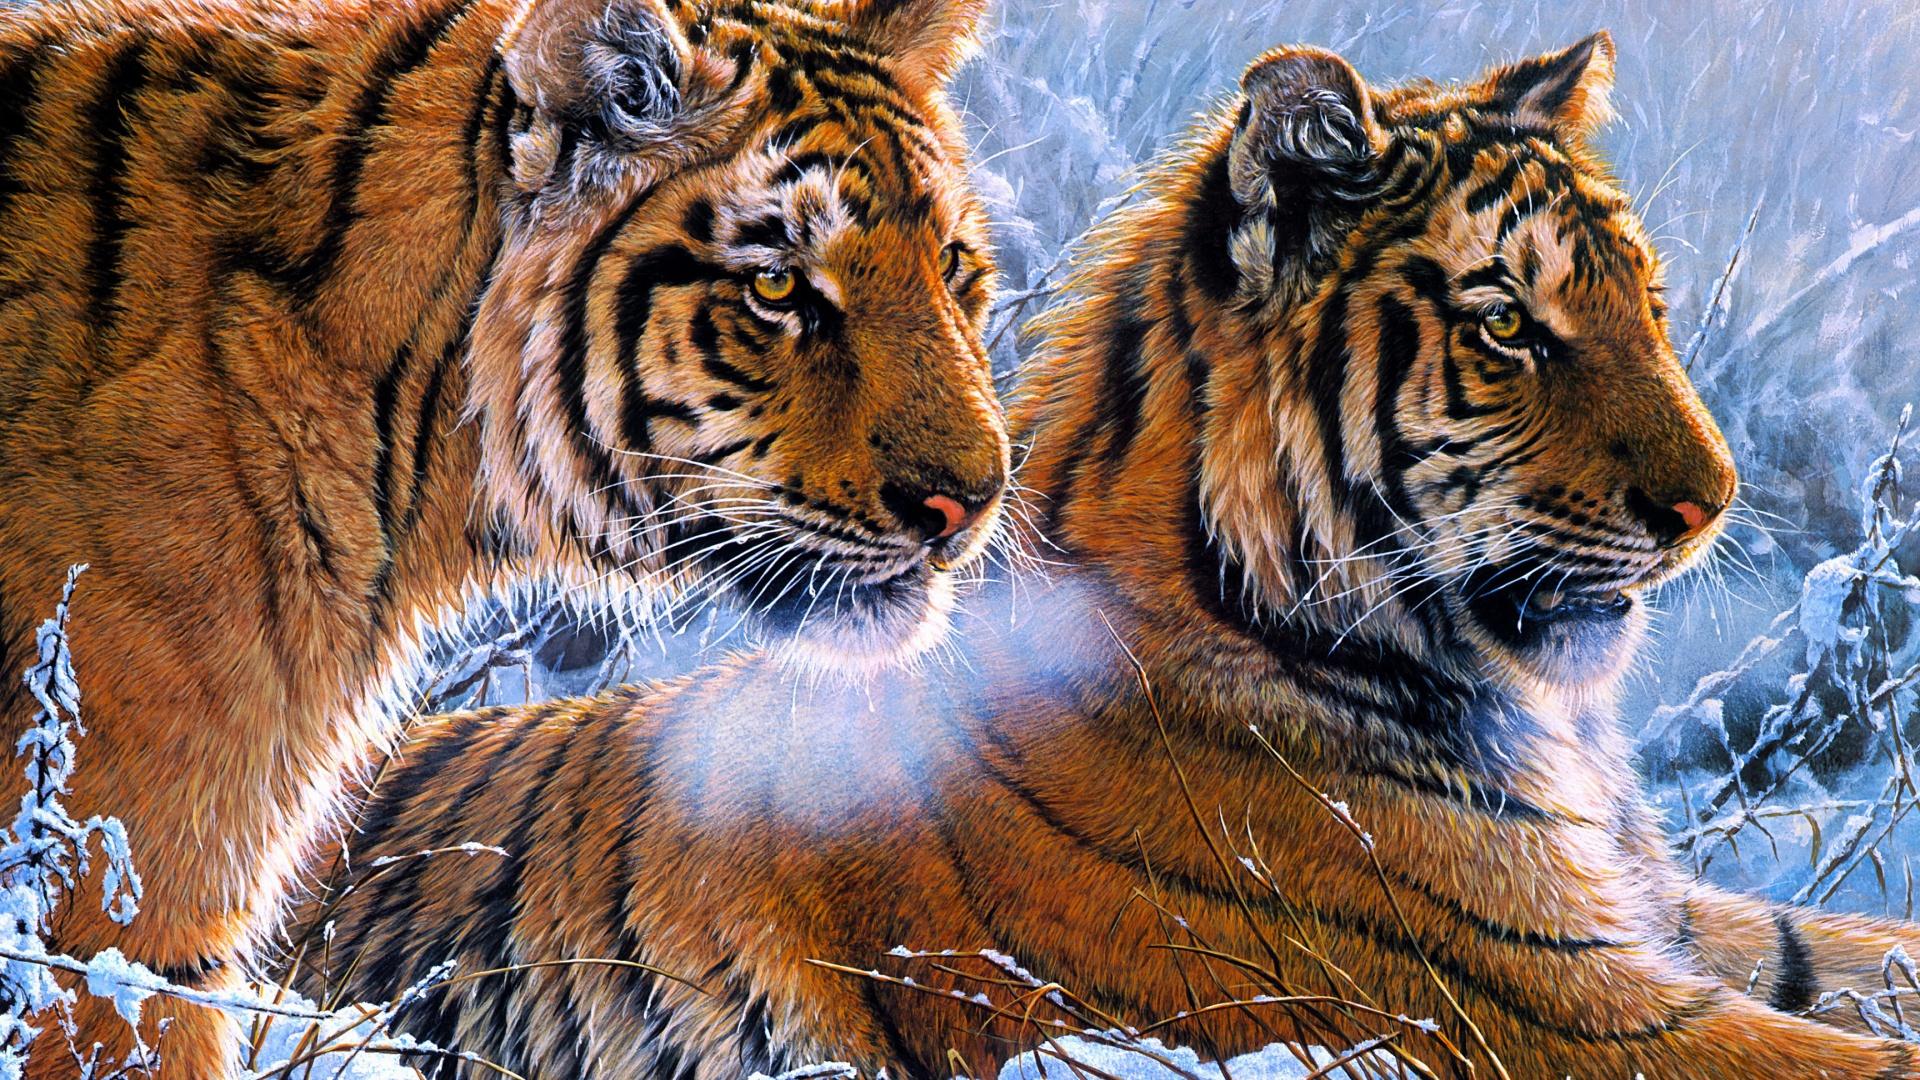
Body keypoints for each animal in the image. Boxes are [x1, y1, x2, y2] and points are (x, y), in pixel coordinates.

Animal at [291, 31, 1920, 1080]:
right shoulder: (1537, 1004)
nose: (1711, 504)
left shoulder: (1666, 920)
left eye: (1647, 302)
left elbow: (1865, 952)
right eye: (1507, 322)